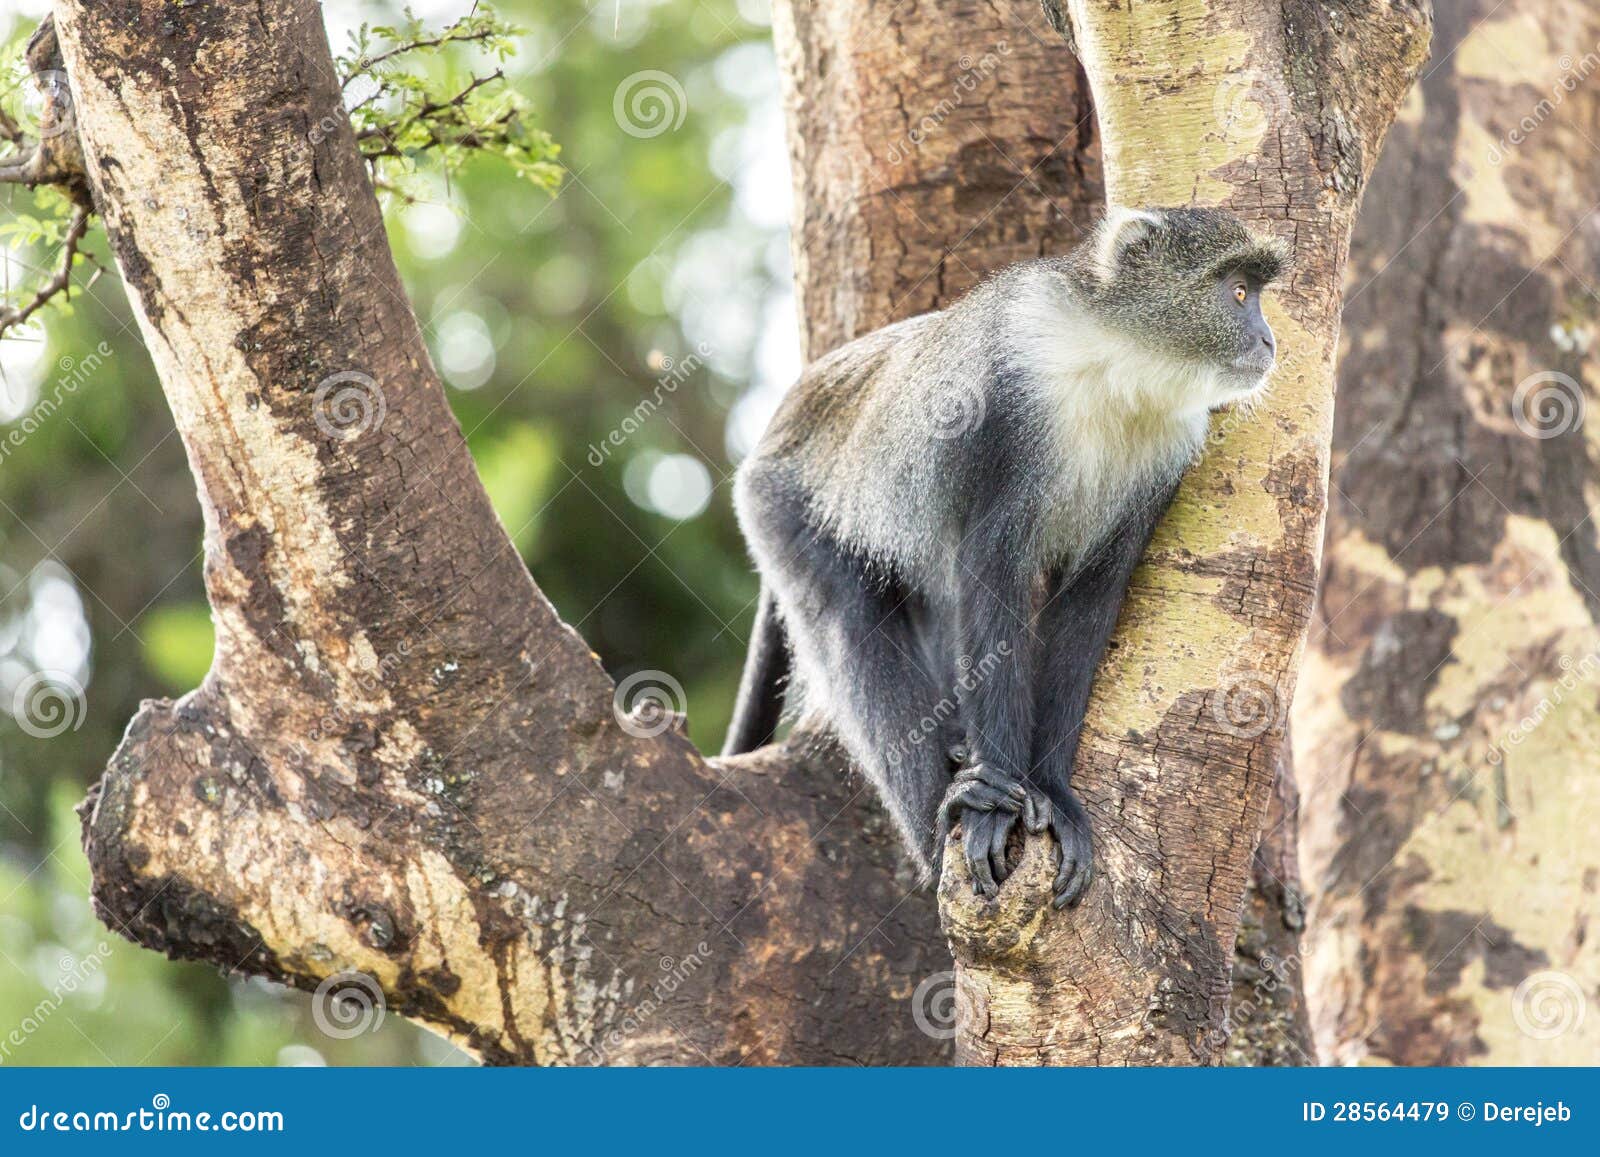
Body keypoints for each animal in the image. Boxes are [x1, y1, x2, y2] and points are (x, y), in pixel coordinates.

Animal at [723, 206, 1287, 909]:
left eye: (1256, 292)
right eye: (1237, 292)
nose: (1268, 340)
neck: (1116, 364)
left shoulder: (1163, 465)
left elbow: (1089, 604)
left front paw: (1055, 794)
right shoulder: (1007, 409)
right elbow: (993, 577)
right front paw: (996, 807)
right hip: (777, 508)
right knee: (850, 628)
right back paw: (948, 817)